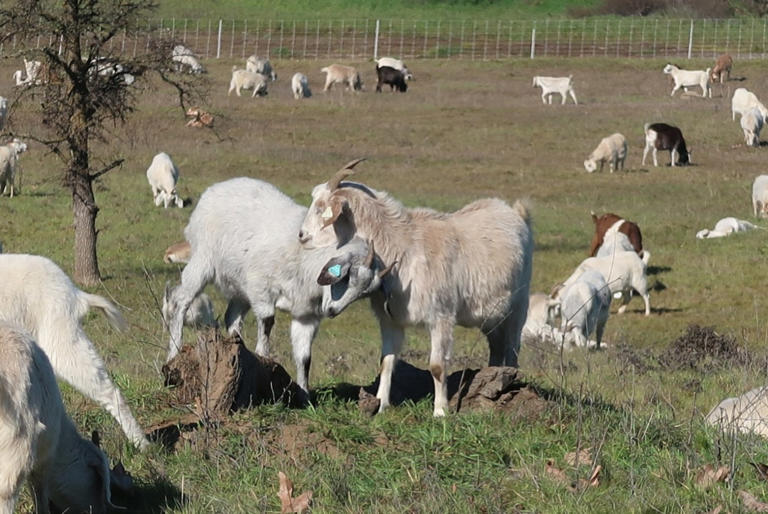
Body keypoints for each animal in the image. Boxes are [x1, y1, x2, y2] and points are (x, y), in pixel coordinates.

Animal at [164, 177, 392, 399]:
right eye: (347, 276)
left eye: (363, 294)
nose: (332, 311)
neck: (307, 257)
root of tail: (217, 187)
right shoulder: (260, 287)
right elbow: (267, 323)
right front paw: (264, 360)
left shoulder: (306, 315)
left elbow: (304, 357)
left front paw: (304, 396)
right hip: (202, 261)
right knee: (180, 302)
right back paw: (173, 353)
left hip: (240, 287)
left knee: (232, 317)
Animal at [297, 159, 533, 417]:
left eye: (321, 206)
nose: (301, 236)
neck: (403, 247)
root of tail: (512, 211)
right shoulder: (390, 319)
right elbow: (386, 361)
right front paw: (380, 405)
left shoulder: (441, 316)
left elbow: (437, 366)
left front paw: (440, 412)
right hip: (491, 315)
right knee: (496, 345)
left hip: (519, 305)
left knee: (512, 348)